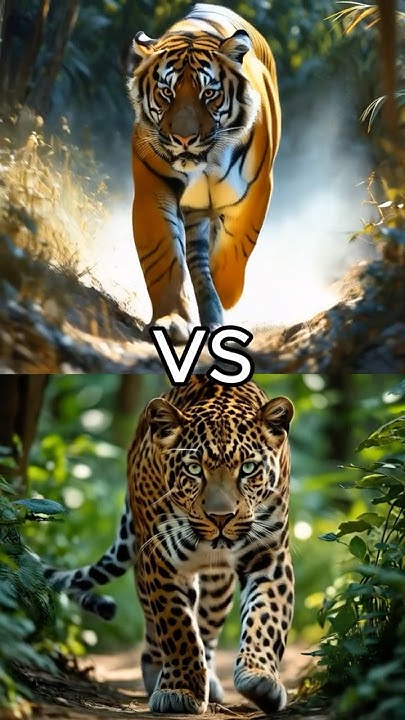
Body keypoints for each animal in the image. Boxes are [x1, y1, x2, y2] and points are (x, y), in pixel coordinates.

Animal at [44, 375, 295, 714]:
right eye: (194, 469)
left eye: (248, 469)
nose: (221, 517)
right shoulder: (160, 556)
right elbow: (177, 626)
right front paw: (180, 690)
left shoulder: (268, 554)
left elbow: (268, 616)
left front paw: (261, 679)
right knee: (154, 624)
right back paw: (157, 672)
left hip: (217, 584)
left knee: (208, 624)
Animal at [128, 4, 281, 340]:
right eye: (166, 92)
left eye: (209, 93)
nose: (184, 138)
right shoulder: (154, 186)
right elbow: (164, 256)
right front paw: (172, 319)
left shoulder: (256, 189)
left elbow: (237, 246)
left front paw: (226, 294)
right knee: (195, 259)